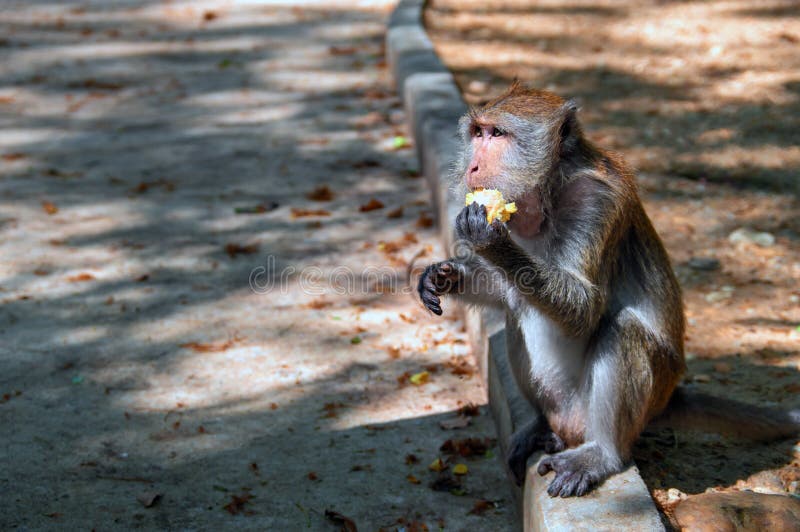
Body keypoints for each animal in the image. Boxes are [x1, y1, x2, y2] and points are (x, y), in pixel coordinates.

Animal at [418, 82, 800, 498]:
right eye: (477, 134)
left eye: (497, 134)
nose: (472, 167)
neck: (549, 193)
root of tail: (668, 398)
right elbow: (508, 292)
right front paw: (444, 275)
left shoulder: (594, 202)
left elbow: (585, 310)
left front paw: (489, 240)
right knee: (516, 313)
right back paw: (541, 426)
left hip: (636, 399)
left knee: (622, 330)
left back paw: (602, 454)